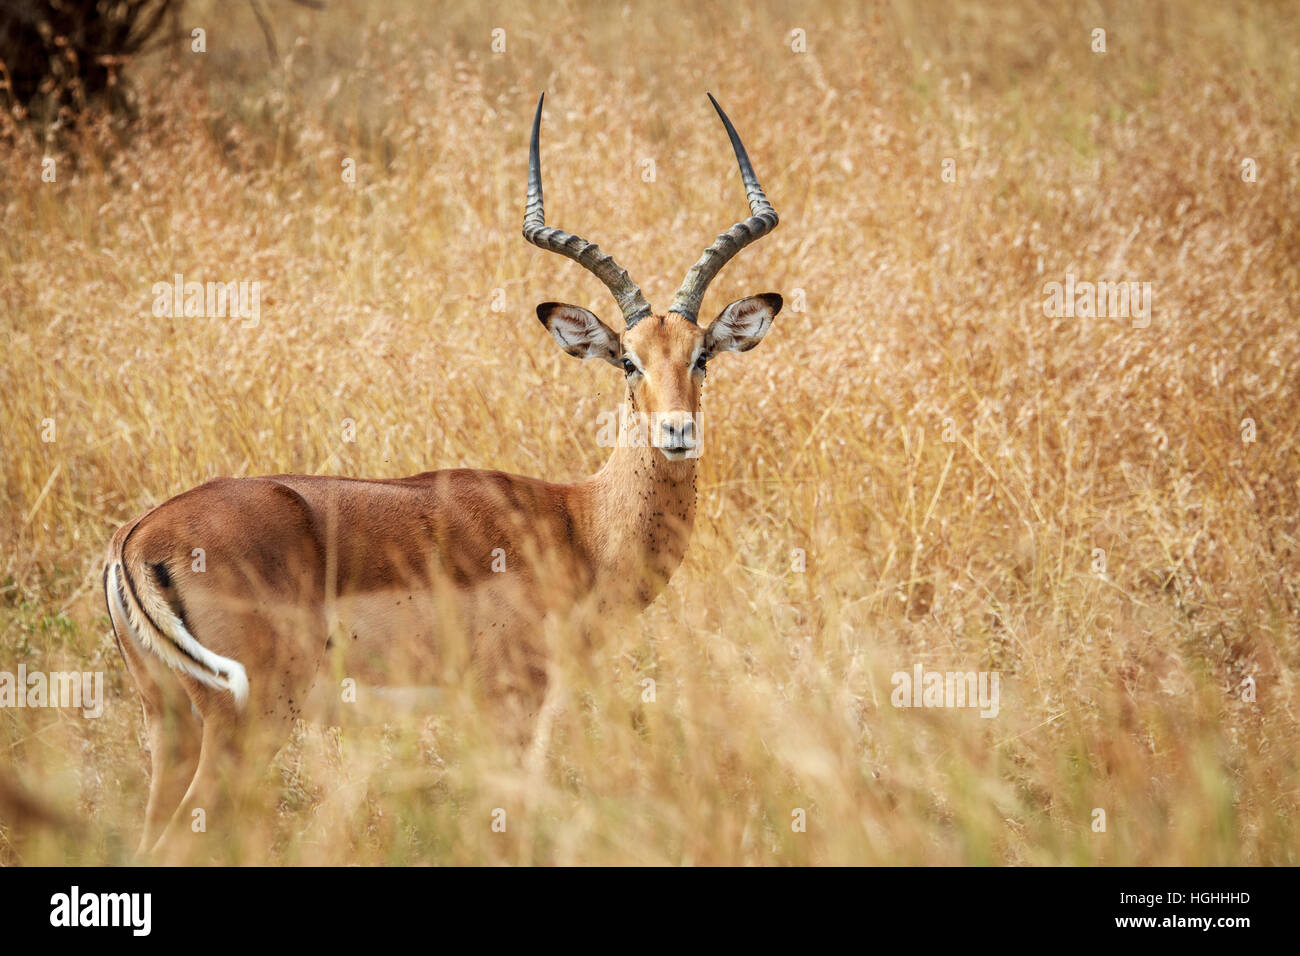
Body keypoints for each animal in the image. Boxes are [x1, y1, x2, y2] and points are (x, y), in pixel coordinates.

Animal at [104, 92, 781, 858]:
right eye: (628, 360)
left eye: (703, 355)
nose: (676, 433)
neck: (577, 525)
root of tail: (136, 539)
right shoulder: (510, 703)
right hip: (247, 721)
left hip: (171, 720)